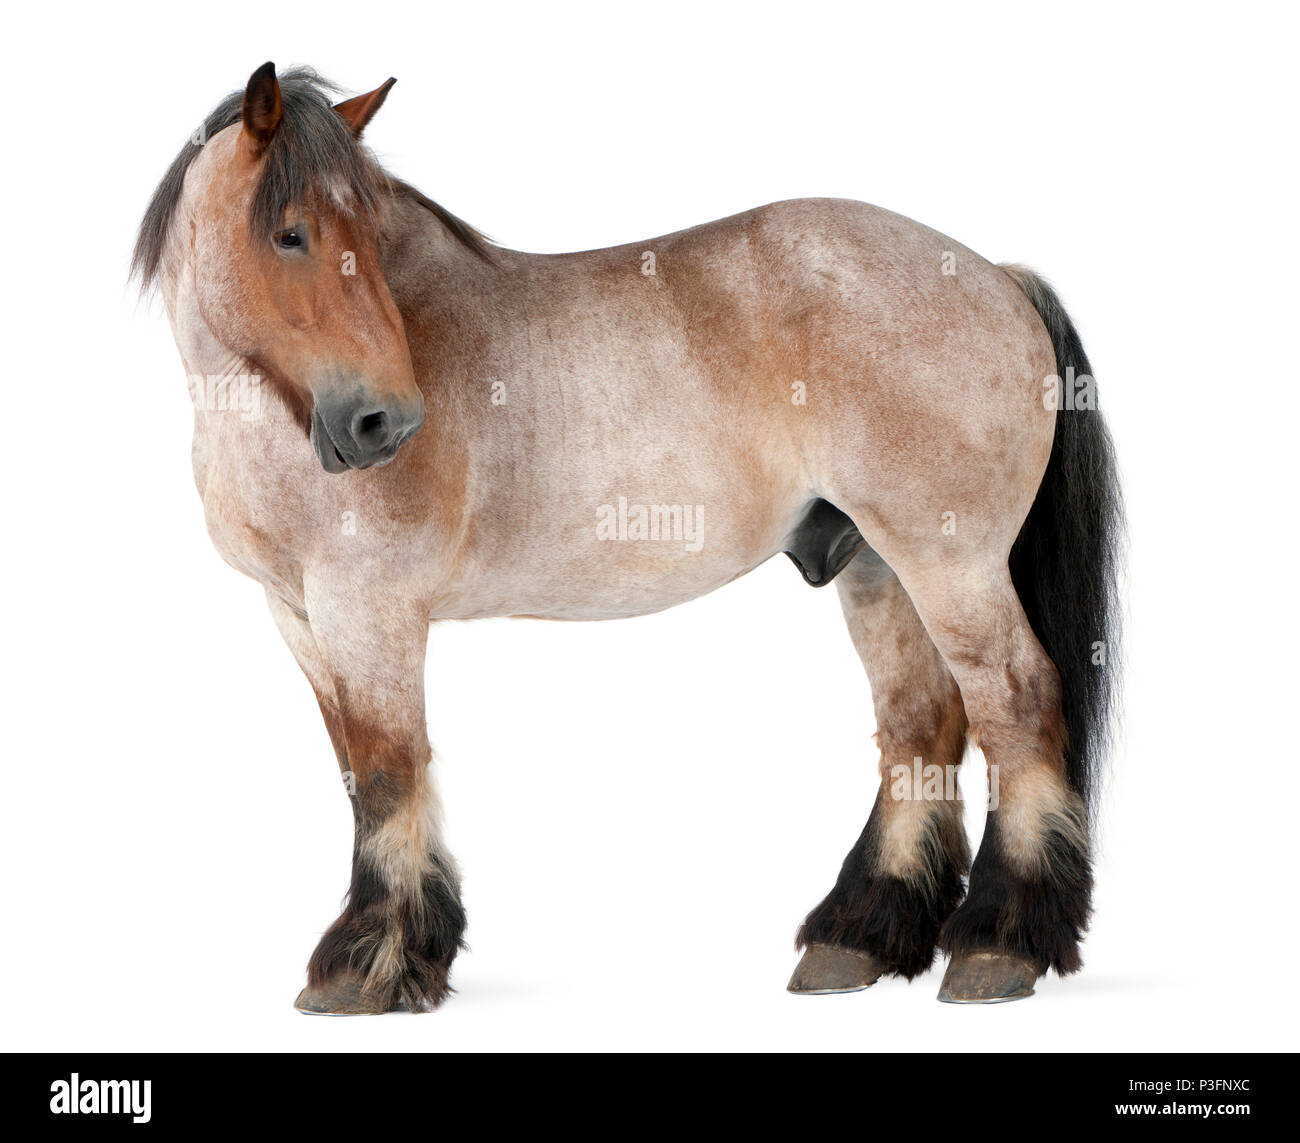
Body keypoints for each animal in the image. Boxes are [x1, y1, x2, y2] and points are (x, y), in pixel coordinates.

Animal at [134, 63, 1122, 1014]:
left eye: (369, 236)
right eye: (290, 235)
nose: (382, 423)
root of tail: (994, 274)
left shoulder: (366, 610)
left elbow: (387, 769)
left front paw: (371, 963)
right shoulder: (298, 614)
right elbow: (357, 768)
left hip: (950, 563)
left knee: (1017, 703)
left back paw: (997, 943)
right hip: (878, 567)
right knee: (918, 722)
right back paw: (860, 936)